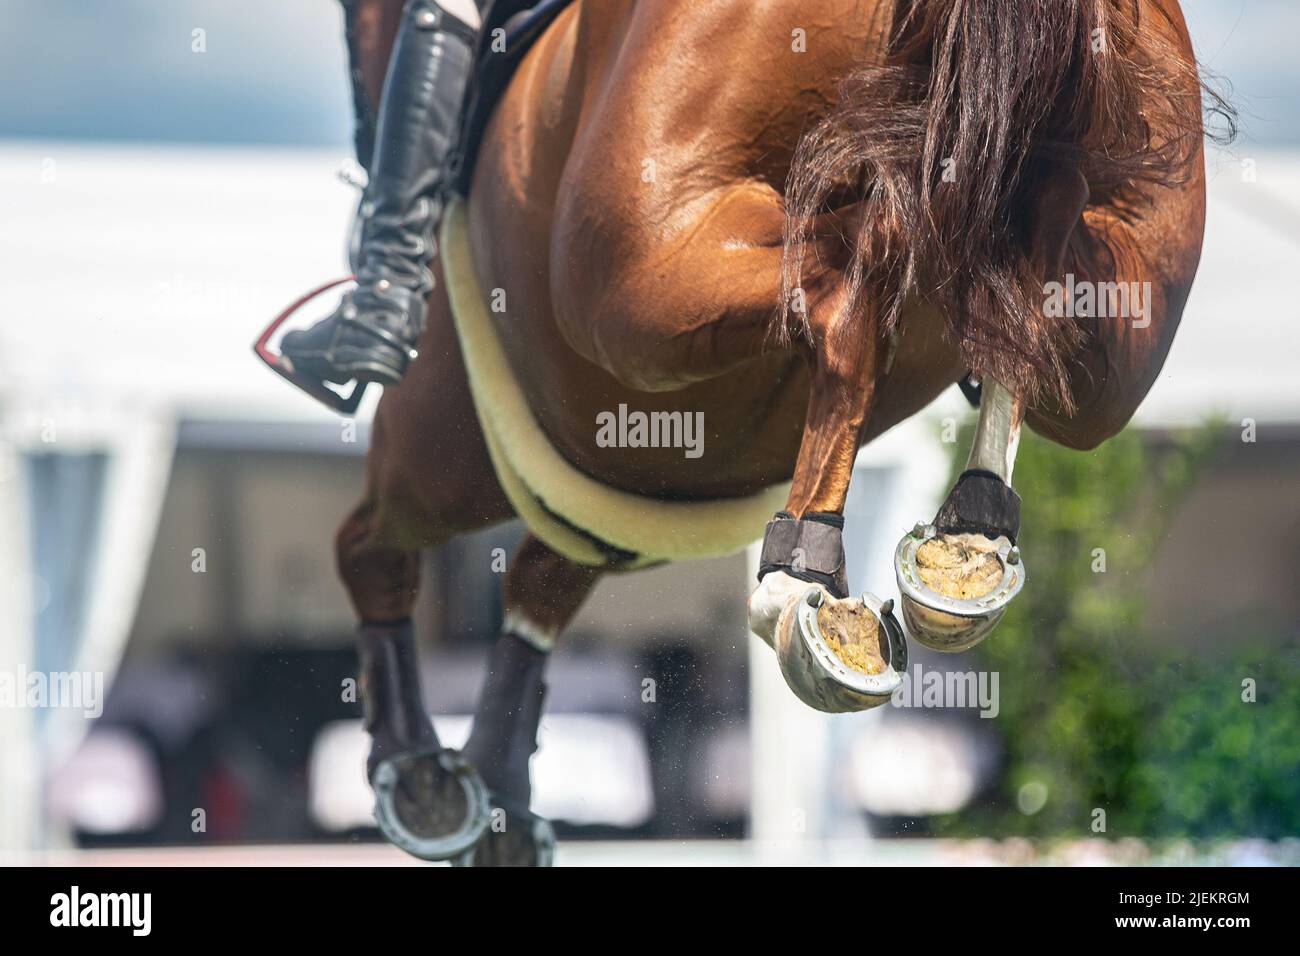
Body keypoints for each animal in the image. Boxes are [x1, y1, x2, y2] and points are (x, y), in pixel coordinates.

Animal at [260, 0, 1226, 865]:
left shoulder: (511, 457)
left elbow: (396, 554)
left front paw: (432, 774)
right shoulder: (608, 502)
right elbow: (537, 583)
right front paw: (493, 791)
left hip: (601, 306)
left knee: (851, 285)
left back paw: (802, 577)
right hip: (1128, 296)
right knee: (1021, 248)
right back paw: (966, 536)